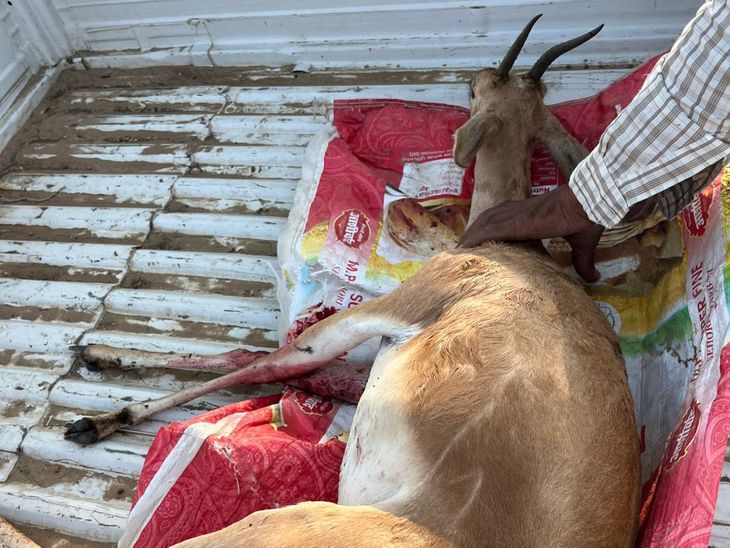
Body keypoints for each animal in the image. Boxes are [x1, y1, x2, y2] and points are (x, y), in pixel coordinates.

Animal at [66, 16, 640, 547]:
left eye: (487, 89)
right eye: (522, 89)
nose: (473, 76)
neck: (514, 252)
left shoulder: (394, 308)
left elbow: (274, 358)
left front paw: (102, 398)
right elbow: (280, 367)